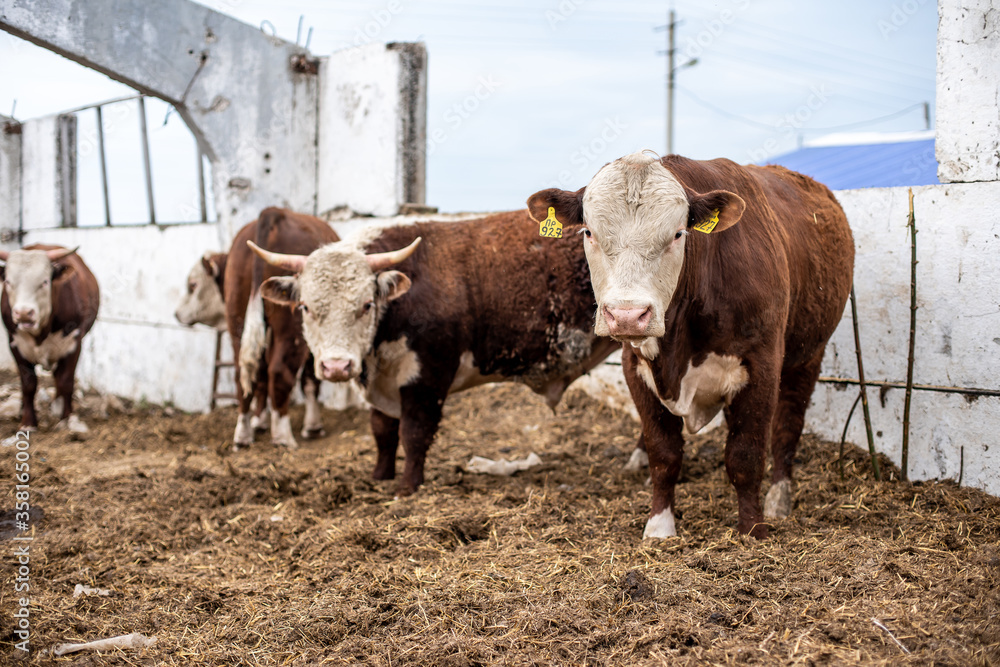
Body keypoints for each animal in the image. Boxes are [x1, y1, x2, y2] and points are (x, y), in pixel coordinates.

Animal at [0, 245, 100, 434]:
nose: (24, 313)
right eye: (8, 282)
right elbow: (28, 383)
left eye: (45, 282)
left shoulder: (73, 342)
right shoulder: (15, 343)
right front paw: (28, 422)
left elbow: (65, 380)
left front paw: (67, 418)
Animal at [226, 208, 339, 449]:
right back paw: (283, 437)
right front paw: (313, 426)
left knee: (245, 373)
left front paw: (260, 421)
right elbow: (310, 378)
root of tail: (274, 212)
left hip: (236, 316)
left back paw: (243, 434)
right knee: (279, 371)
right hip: (292, 327)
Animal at [248, 210, 621, 496]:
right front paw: (380, 476)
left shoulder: (428, 376)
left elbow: (413, 433)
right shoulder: (384, 381)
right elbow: (382, 431)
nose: (337, 366)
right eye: (306, 307)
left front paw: (407, 487)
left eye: (366, 305)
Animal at [527, 151, 854, 539]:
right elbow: (664, 453)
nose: (627, 315)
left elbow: (746, 454)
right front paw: (659, 526)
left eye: (677, 233)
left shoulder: (762, 364)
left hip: (808, 355)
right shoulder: (635, 367)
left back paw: (779, 500)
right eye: (588, 232)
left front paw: (752, 529)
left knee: (787, 427)